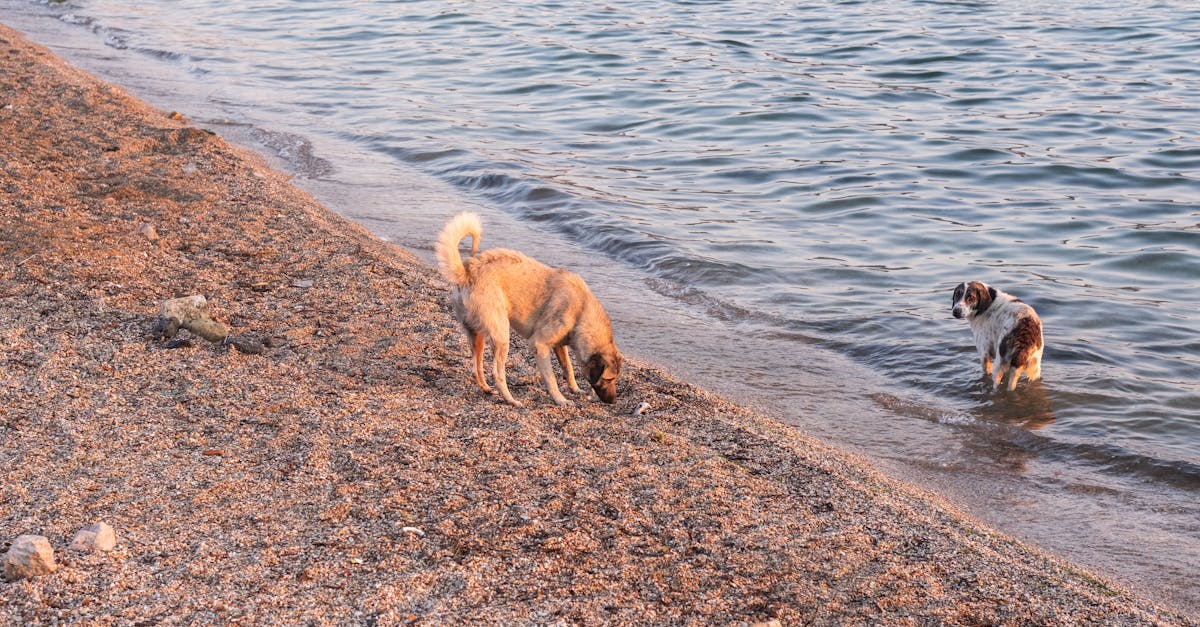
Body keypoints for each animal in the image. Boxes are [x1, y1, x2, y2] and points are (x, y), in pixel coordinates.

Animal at [434, 210, 624, 405]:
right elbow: (551, 379)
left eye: (615, 379)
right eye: (609, 379)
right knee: (497, 373)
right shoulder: (540, 345)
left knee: (476, 367)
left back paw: (486, 389)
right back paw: (511, 400)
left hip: (477, 336)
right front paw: (560, 399)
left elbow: (568, 368)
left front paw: (575, 389)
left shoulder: (559, 346)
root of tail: (467, 273)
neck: (581, 311)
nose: (613, 401)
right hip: (502, 337)